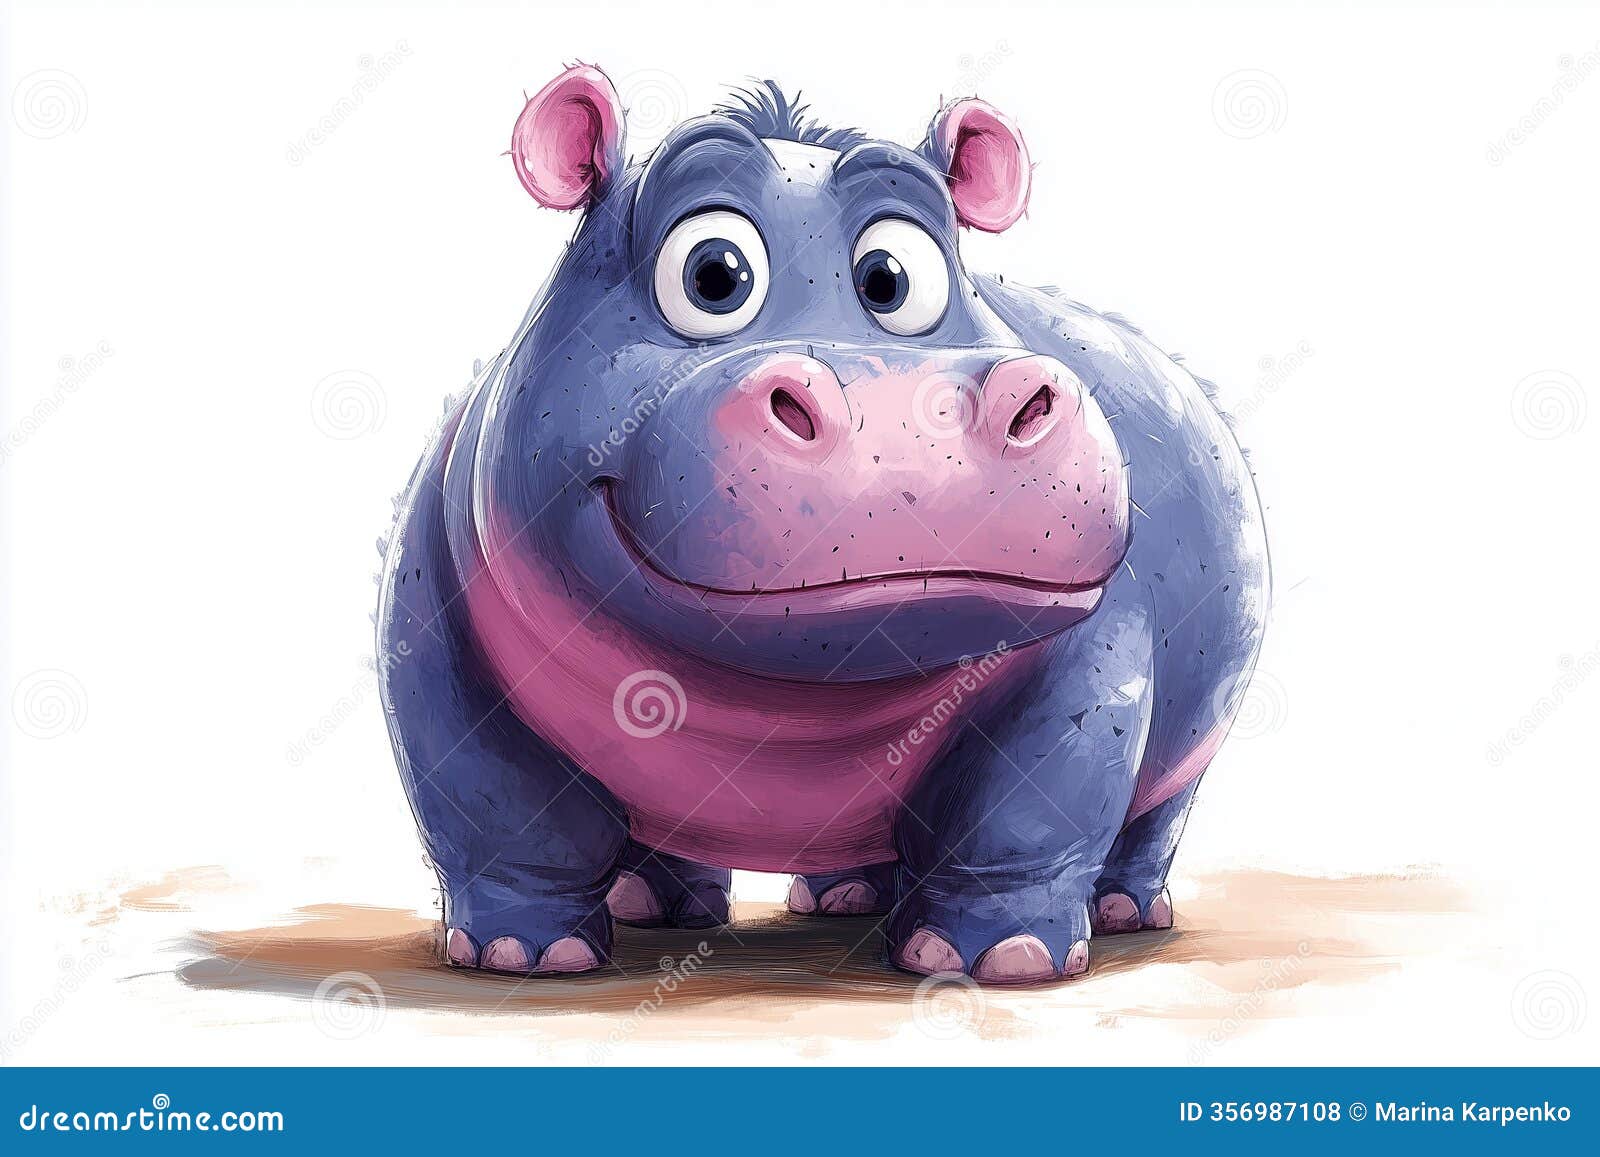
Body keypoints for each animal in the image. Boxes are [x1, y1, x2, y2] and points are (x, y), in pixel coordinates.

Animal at [376, 65, 1268, 986]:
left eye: (892, 277)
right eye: (713, 273)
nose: (915, 413)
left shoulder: (1090, 649)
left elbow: (1024, 814)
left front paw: (999, 959)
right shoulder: (435, 630)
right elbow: (504, 810)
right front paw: (523, 954)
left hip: (1195, 746)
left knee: (1149, 821)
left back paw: (1122, 911)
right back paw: (694, 904)